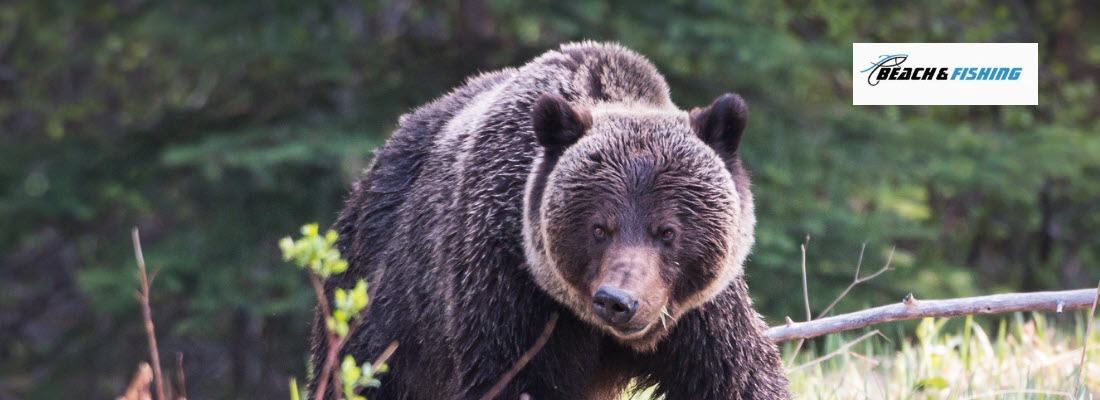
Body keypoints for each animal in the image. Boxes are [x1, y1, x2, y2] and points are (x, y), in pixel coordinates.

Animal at [314, 41, 790, 400]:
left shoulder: (701, 315)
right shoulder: (509, 287)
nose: (618, 301)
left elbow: (737, 376)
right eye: (599, 228)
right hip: (382, 299)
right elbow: (514, 380)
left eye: (667, 231)